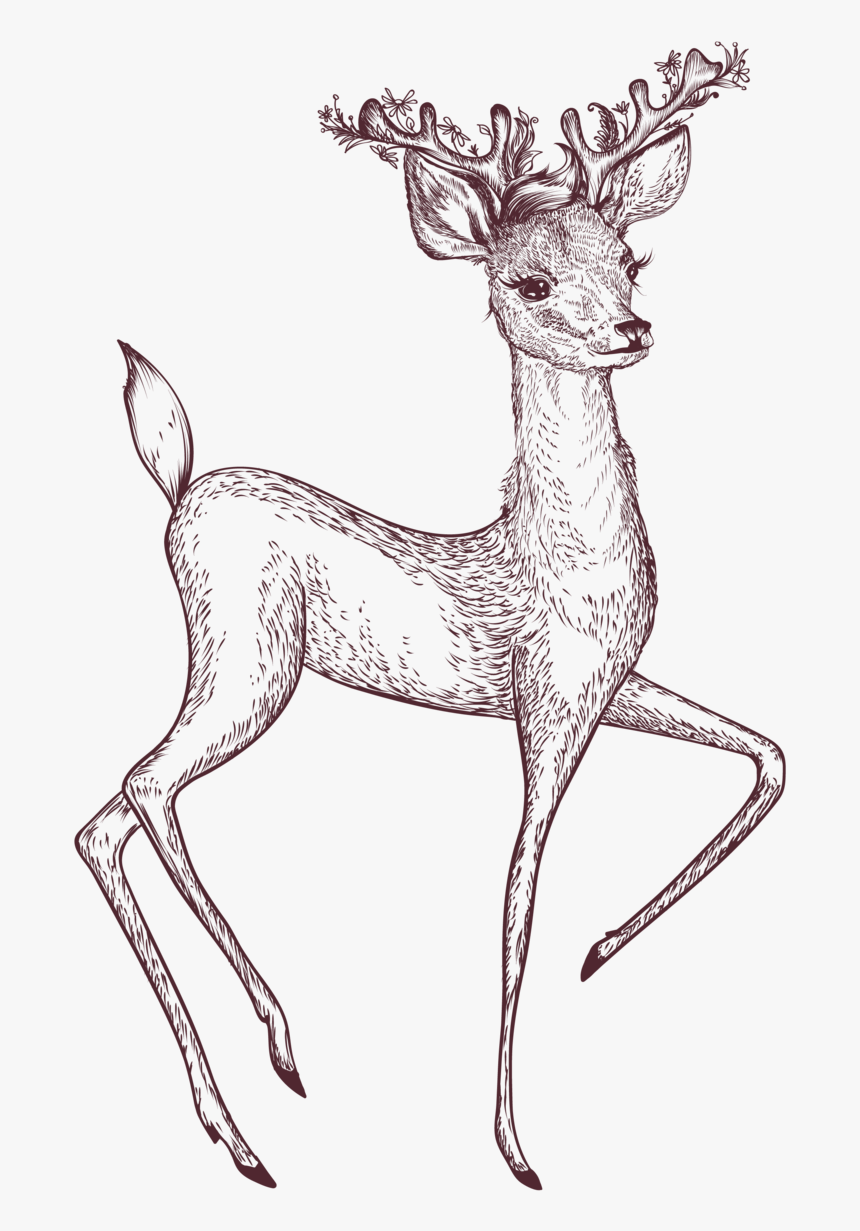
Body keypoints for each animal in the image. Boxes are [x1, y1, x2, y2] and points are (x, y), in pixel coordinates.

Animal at [76, 43, 783, 1192]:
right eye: (527, 281)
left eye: (631, 259)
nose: (631, 330)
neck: (555, 562)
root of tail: (180, 488)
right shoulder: (547, 708)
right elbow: (513, 908)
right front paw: (515, 1149)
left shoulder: (608, 685)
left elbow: (768, 757)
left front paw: (602, 949)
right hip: (248, 663)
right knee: (144, 788)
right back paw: (271, 1071)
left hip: (236, 675)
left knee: (104, 821)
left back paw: (240, 1117)